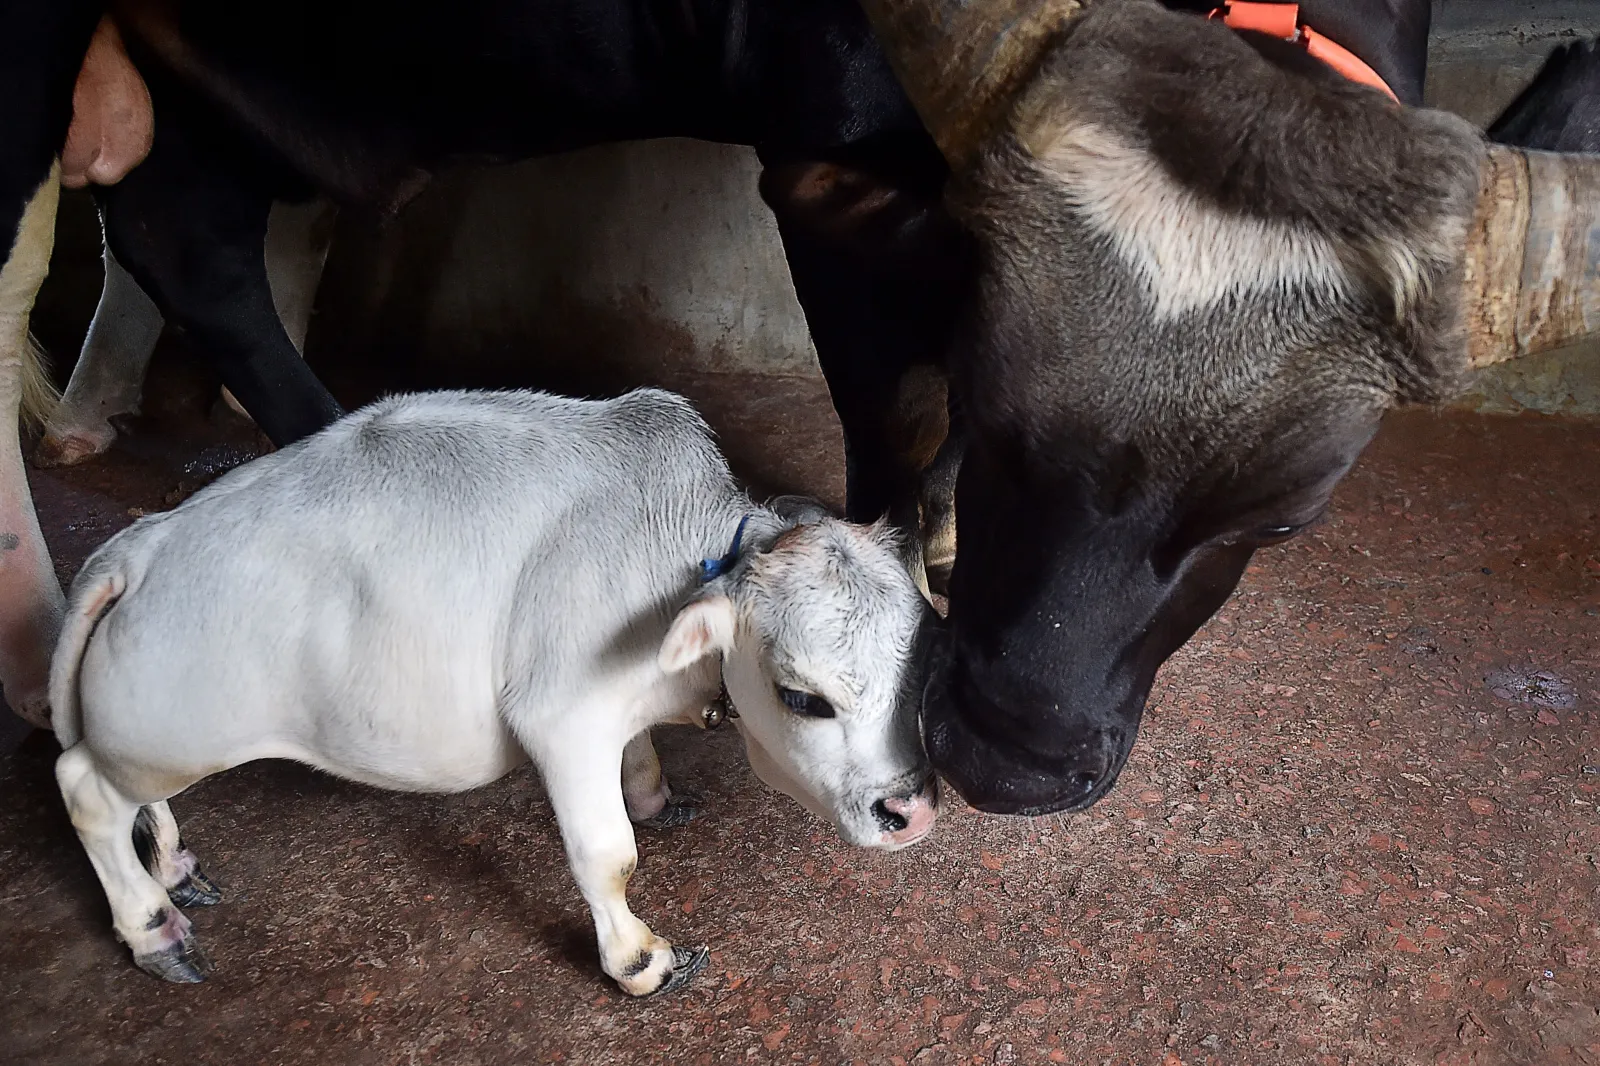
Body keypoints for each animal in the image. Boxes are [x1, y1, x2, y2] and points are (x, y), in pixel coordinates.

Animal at [8, 0, 1600, 818]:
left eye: (1284, 515)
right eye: (1006, 405)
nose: (1009, 761)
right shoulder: (837, 180)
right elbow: (890, 419)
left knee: (183, 230)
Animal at [50, 386, 937, 992]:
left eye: (919, 671)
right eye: (802, 697)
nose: (914, 811)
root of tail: (137, 547)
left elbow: (640, 762)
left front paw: (654, 794)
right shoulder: (562, 715)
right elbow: (608, 855)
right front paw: (639, 960)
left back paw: (171, 865)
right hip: (172, 733)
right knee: (85, 787)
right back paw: (152, 928)